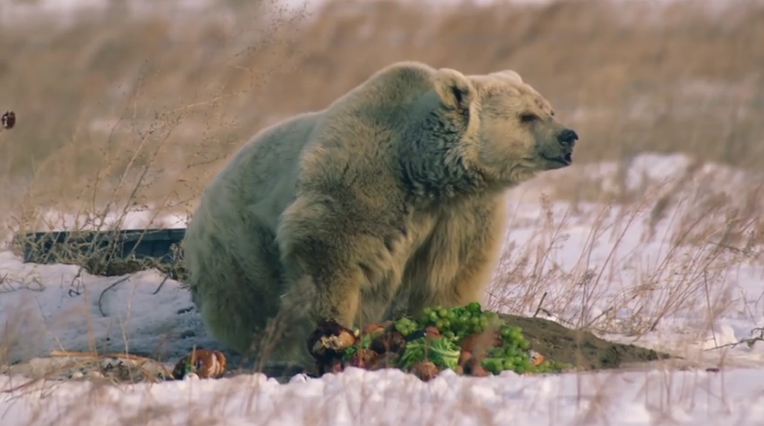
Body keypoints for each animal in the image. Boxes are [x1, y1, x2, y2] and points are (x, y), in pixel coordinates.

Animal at [181, 60, 578, 366]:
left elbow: (453, 275)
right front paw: (334, 334)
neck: (427, 174)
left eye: (548, 109)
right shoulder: (360, 184)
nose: (568, 136)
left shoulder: (461, 216)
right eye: (526, 116)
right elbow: (329, 253)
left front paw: (449, 323)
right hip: (239, 247)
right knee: (250, 303)